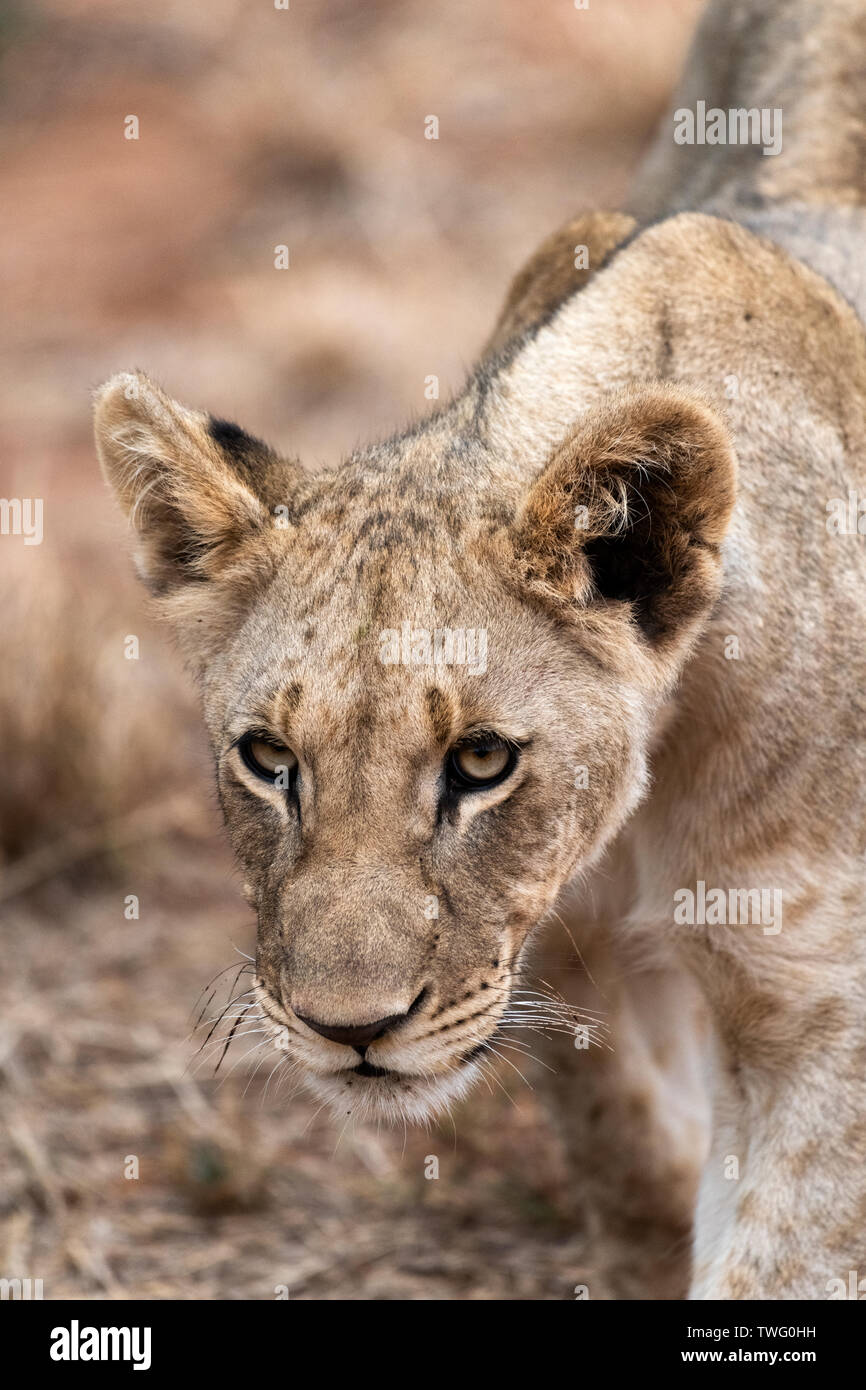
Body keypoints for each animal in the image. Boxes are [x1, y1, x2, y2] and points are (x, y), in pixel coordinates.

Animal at [94, 0, 866, 1299]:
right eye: (267, 758)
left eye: (482, 761)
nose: (348, 1032)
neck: (651, 787)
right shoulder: (557, 944)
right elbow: (630, 1157)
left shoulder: (818, 1008)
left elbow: (781, 1257)